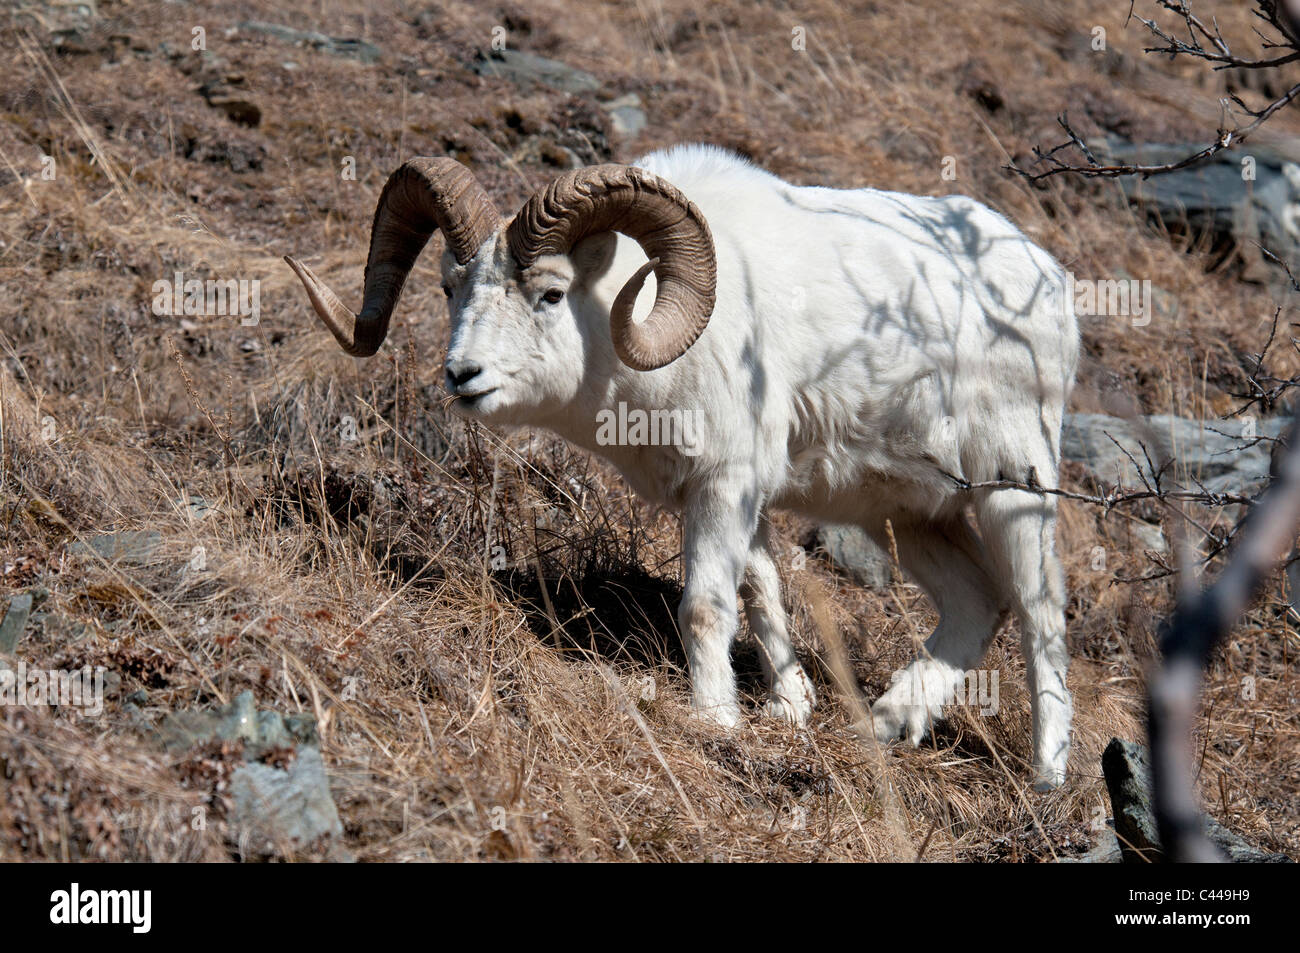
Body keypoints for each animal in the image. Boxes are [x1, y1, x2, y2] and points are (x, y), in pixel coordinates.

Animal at [286, 144, 1079, 790]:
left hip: (1015, 489)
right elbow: (760, 593)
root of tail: (1049, 282)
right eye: (452, 288)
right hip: (915, 515)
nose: (463, 375)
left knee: (1039, 614)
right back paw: (885, 722)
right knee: (980, 603)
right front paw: (788, 710)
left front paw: (714, 719)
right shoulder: (732, 498)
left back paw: (1047, 776)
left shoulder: (724, 487)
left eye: (550, 293)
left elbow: (705, 606)